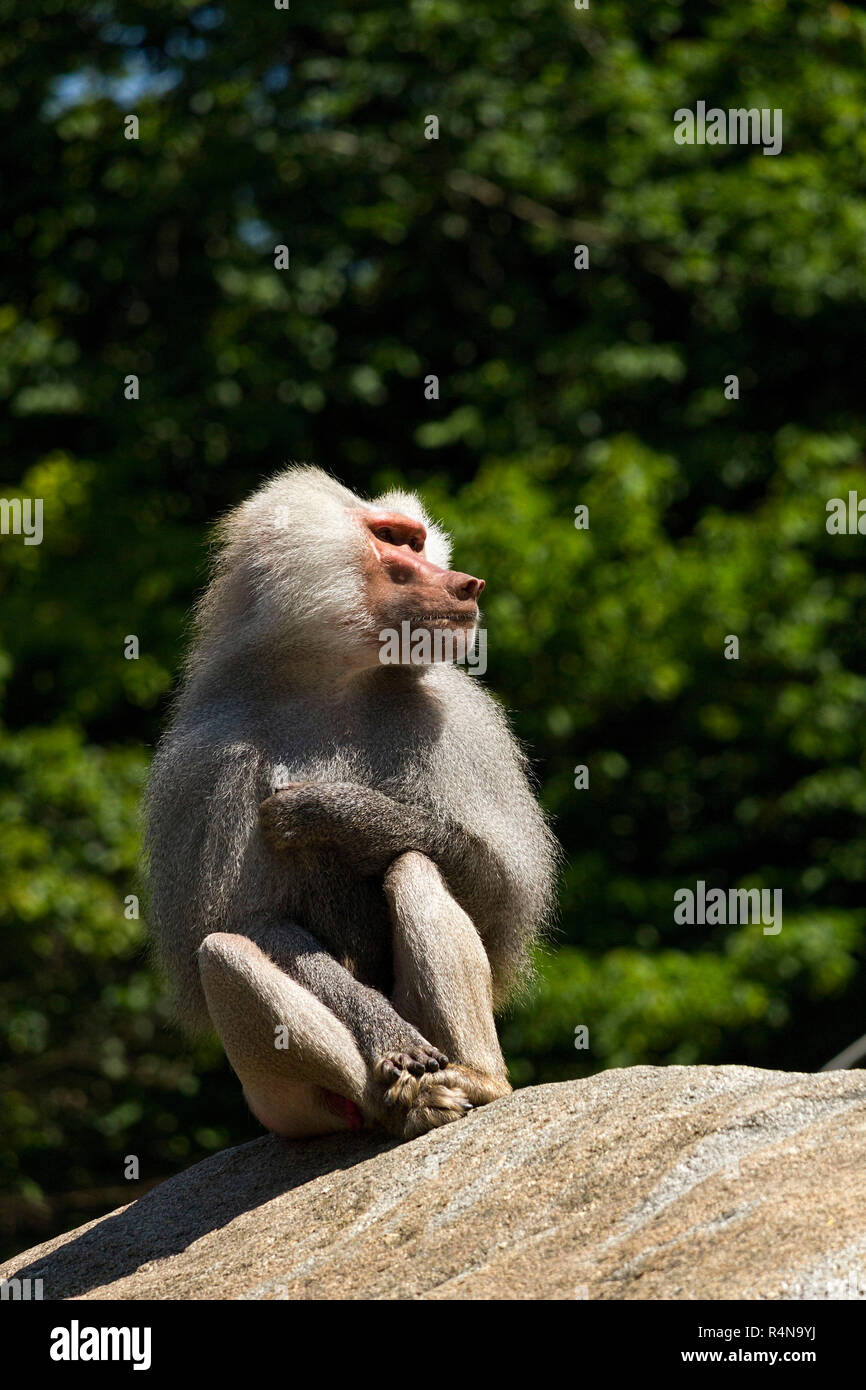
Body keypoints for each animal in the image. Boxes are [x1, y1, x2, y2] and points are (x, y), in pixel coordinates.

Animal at [144, 466, 559, 1141]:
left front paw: (334, 812)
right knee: (225, 952)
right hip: (283, 1110)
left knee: (413, 864)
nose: (467, 584)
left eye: (417, 541)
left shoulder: (459, 719)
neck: (331, 682)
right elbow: (248, 922)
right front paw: (386, 1034)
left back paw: (476, 1079)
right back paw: (403, 1098)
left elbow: (503, 891)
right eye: (392, 540)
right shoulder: (206, 759)